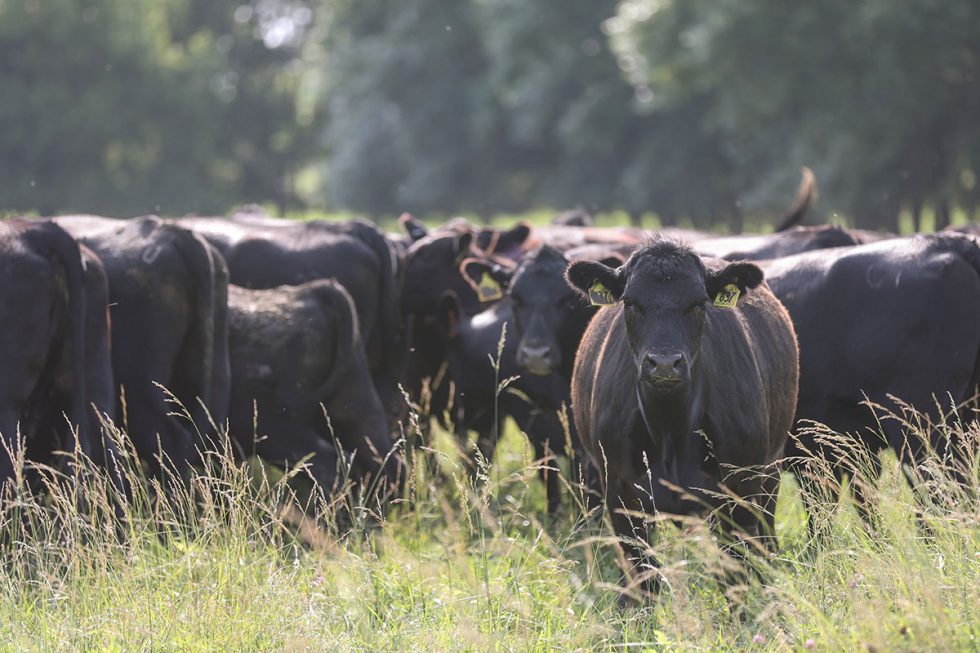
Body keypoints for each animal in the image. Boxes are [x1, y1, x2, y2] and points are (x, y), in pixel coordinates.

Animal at [565, 239, 799, 598]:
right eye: (630, 302)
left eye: (699, 303)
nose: (664, 363)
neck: (670, 429)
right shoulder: (621, 496)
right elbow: (643, 582)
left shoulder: (740, 492)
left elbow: (736, 577)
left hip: (770, 470)